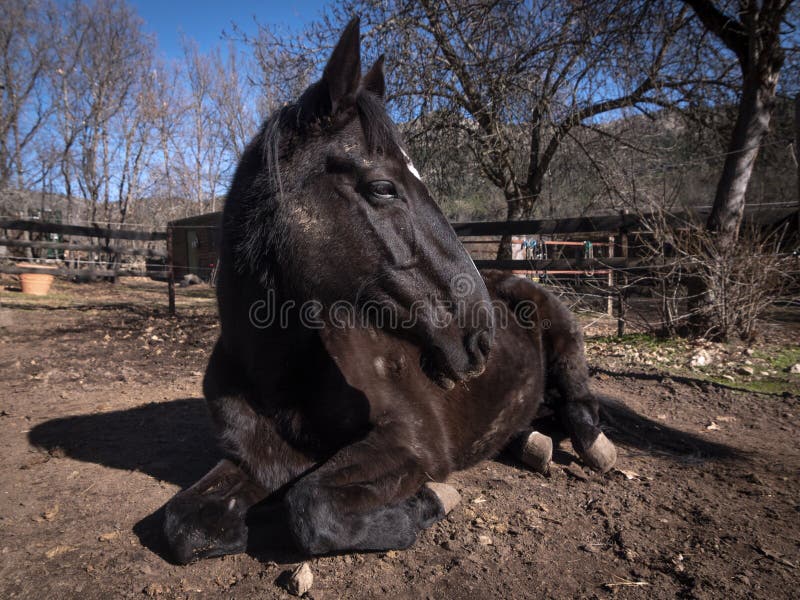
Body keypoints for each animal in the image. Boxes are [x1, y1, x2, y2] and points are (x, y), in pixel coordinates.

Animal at [163, 17, 617, 564]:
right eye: (383, 187)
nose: (480, 336)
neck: (279, 378)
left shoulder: (410, 440)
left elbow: (310, 507)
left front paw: (433, 499)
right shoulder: (253, 460)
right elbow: (184, 524)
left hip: (567, 344)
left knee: (581, 406)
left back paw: (589, 445)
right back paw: (533, 442)